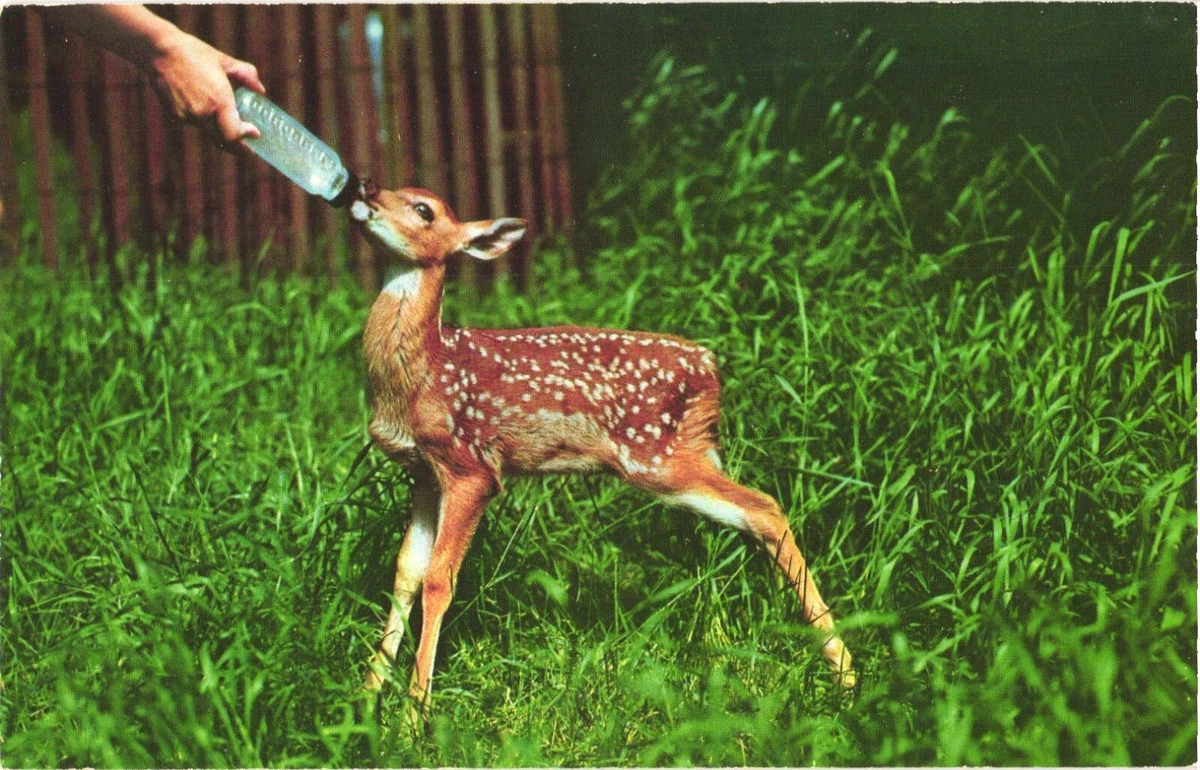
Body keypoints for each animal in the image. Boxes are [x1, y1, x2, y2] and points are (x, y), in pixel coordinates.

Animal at [349, 182, 855, 715]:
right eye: (390, 187)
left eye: (424, 210)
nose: (363, 191)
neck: (423, 371)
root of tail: (711, 367)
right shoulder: (423, 473)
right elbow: (405, 575)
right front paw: (365, 701)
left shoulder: (472, 467)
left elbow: (438, 580)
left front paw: (415, 713)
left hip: (657, 456)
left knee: (765, 507)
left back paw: (846, 674)